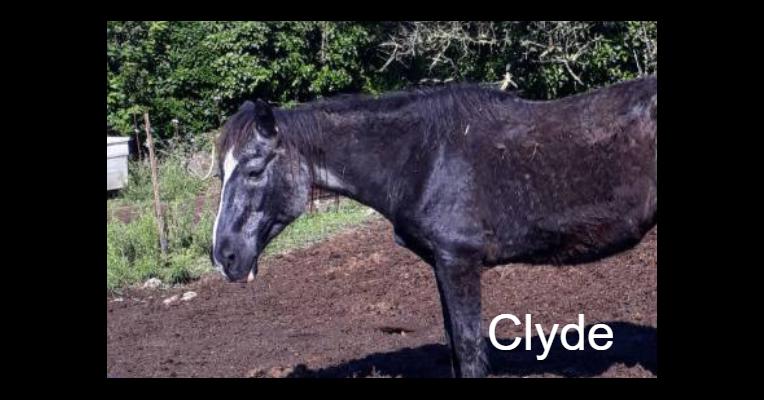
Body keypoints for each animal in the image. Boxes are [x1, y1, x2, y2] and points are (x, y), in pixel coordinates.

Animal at [210, 75, 657, 378]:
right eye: (220, 173)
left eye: (253, 170)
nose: (224, 256)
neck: (421, 157)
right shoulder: (441, 265)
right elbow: (454, 347)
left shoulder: (459, 261)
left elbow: (470, 348)